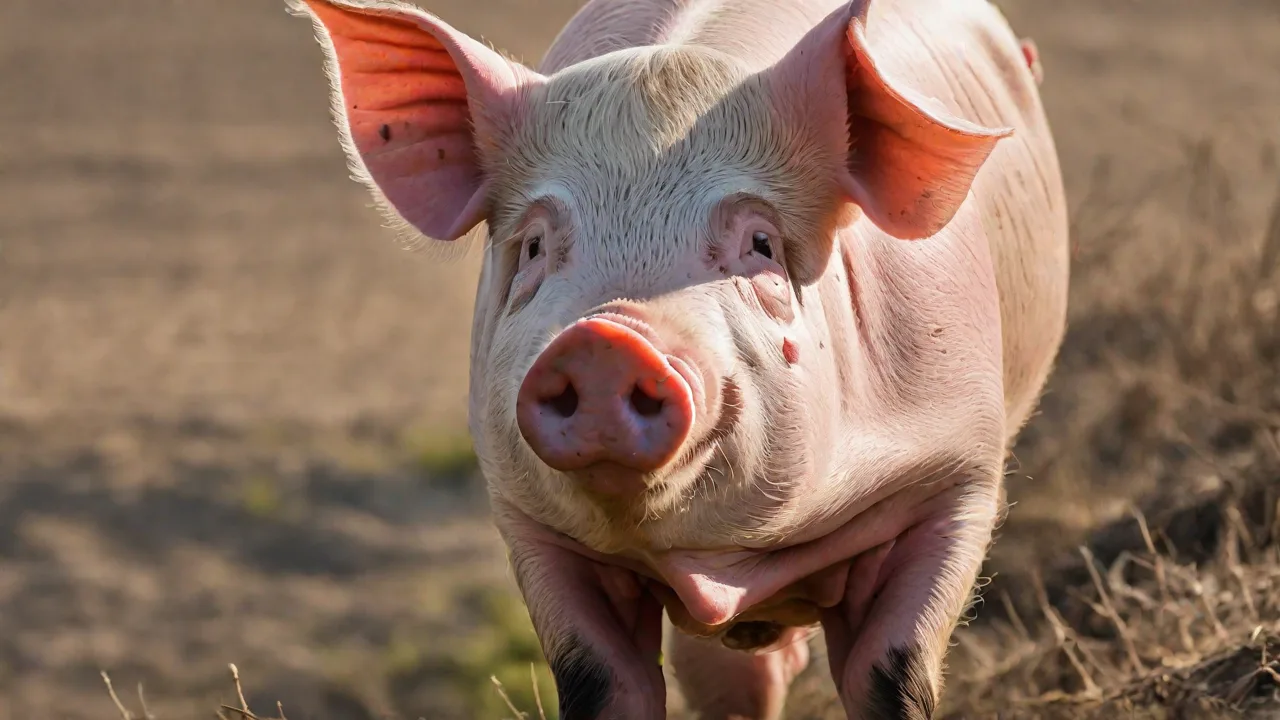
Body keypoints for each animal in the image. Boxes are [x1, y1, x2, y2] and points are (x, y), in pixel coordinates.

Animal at [286, 0, 1069, 716]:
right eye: (535, 246)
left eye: (760, 244)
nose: (604, 339)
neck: (722, 563)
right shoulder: (534, 526)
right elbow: (601, 683)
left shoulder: (956, 475)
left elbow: (890, 674)